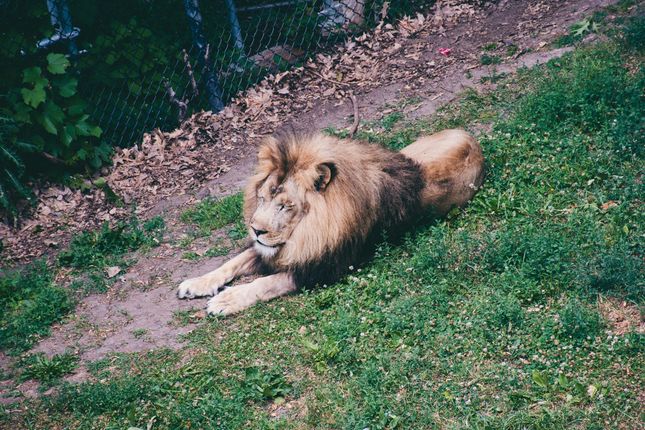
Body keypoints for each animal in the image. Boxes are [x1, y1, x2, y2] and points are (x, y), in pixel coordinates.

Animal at [177, 129, 484, 315]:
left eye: (285, 206)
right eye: (262, 198)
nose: (255, 230)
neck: (308, 230)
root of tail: (469, 136)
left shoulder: (324, 268)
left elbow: (265, 283)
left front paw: (226, 299)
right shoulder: (277, 250)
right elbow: (232, 262)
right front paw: (196, 284)